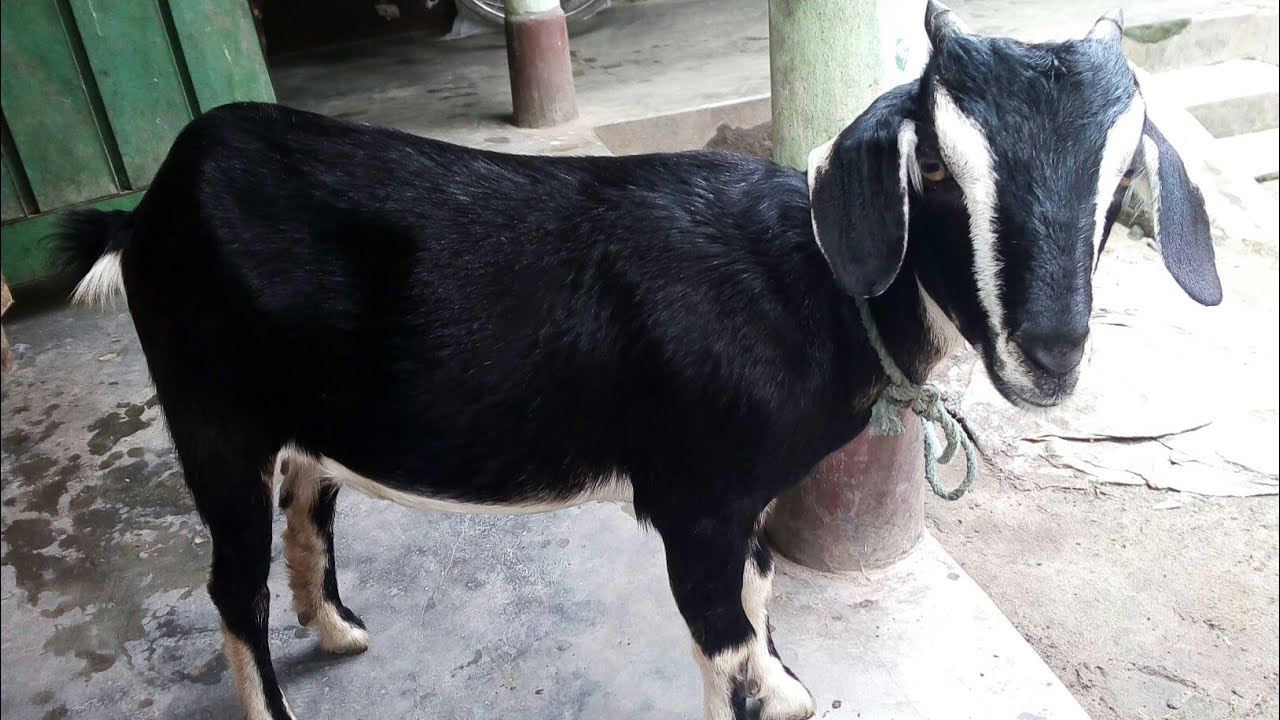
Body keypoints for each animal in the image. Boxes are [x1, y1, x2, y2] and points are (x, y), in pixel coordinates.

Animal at [56, 4, 1220, 719]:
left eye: (1123, 180)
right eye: (933, 163)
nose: (1050, 353)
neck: (803, 288)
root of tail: (146, 211)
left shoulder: (748, 497)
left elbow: (759, 596)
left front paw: (789, 688)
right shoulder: (692, 496)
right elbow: (725, 637)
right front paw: (771, 694)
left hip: (303, 415)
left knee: (309, 502)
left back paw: (338, 632)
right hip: (211, 416)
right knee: (229, 583)